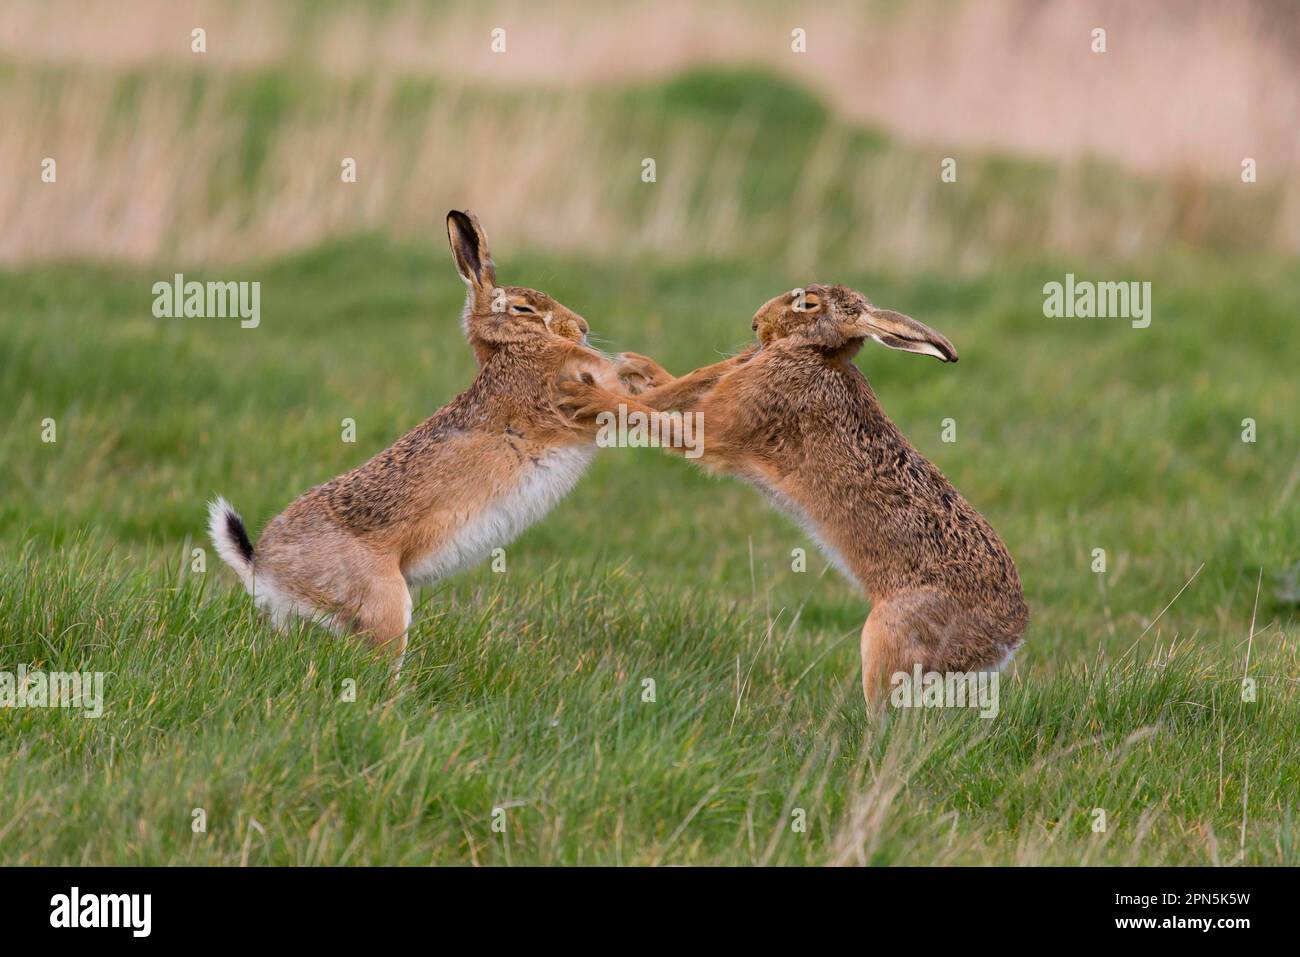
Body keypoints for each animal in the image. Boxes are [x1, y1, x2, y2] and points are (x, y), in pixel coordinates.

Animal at [209, 209, 671, 666]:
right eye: (523, 308)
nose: (582, 327)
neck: (510, 347)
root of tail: (266, 570)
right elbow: (634, 401)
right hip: (386, 602)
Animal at [559, 284, 1028, 706]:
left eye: (808, 303)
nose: (756, 324)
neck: (813, 355)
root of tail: (1008, 639)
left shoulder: (716, 430)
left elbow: (650, 416)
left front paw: (586, 396)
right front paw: (636, 367)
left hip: (888, 636)